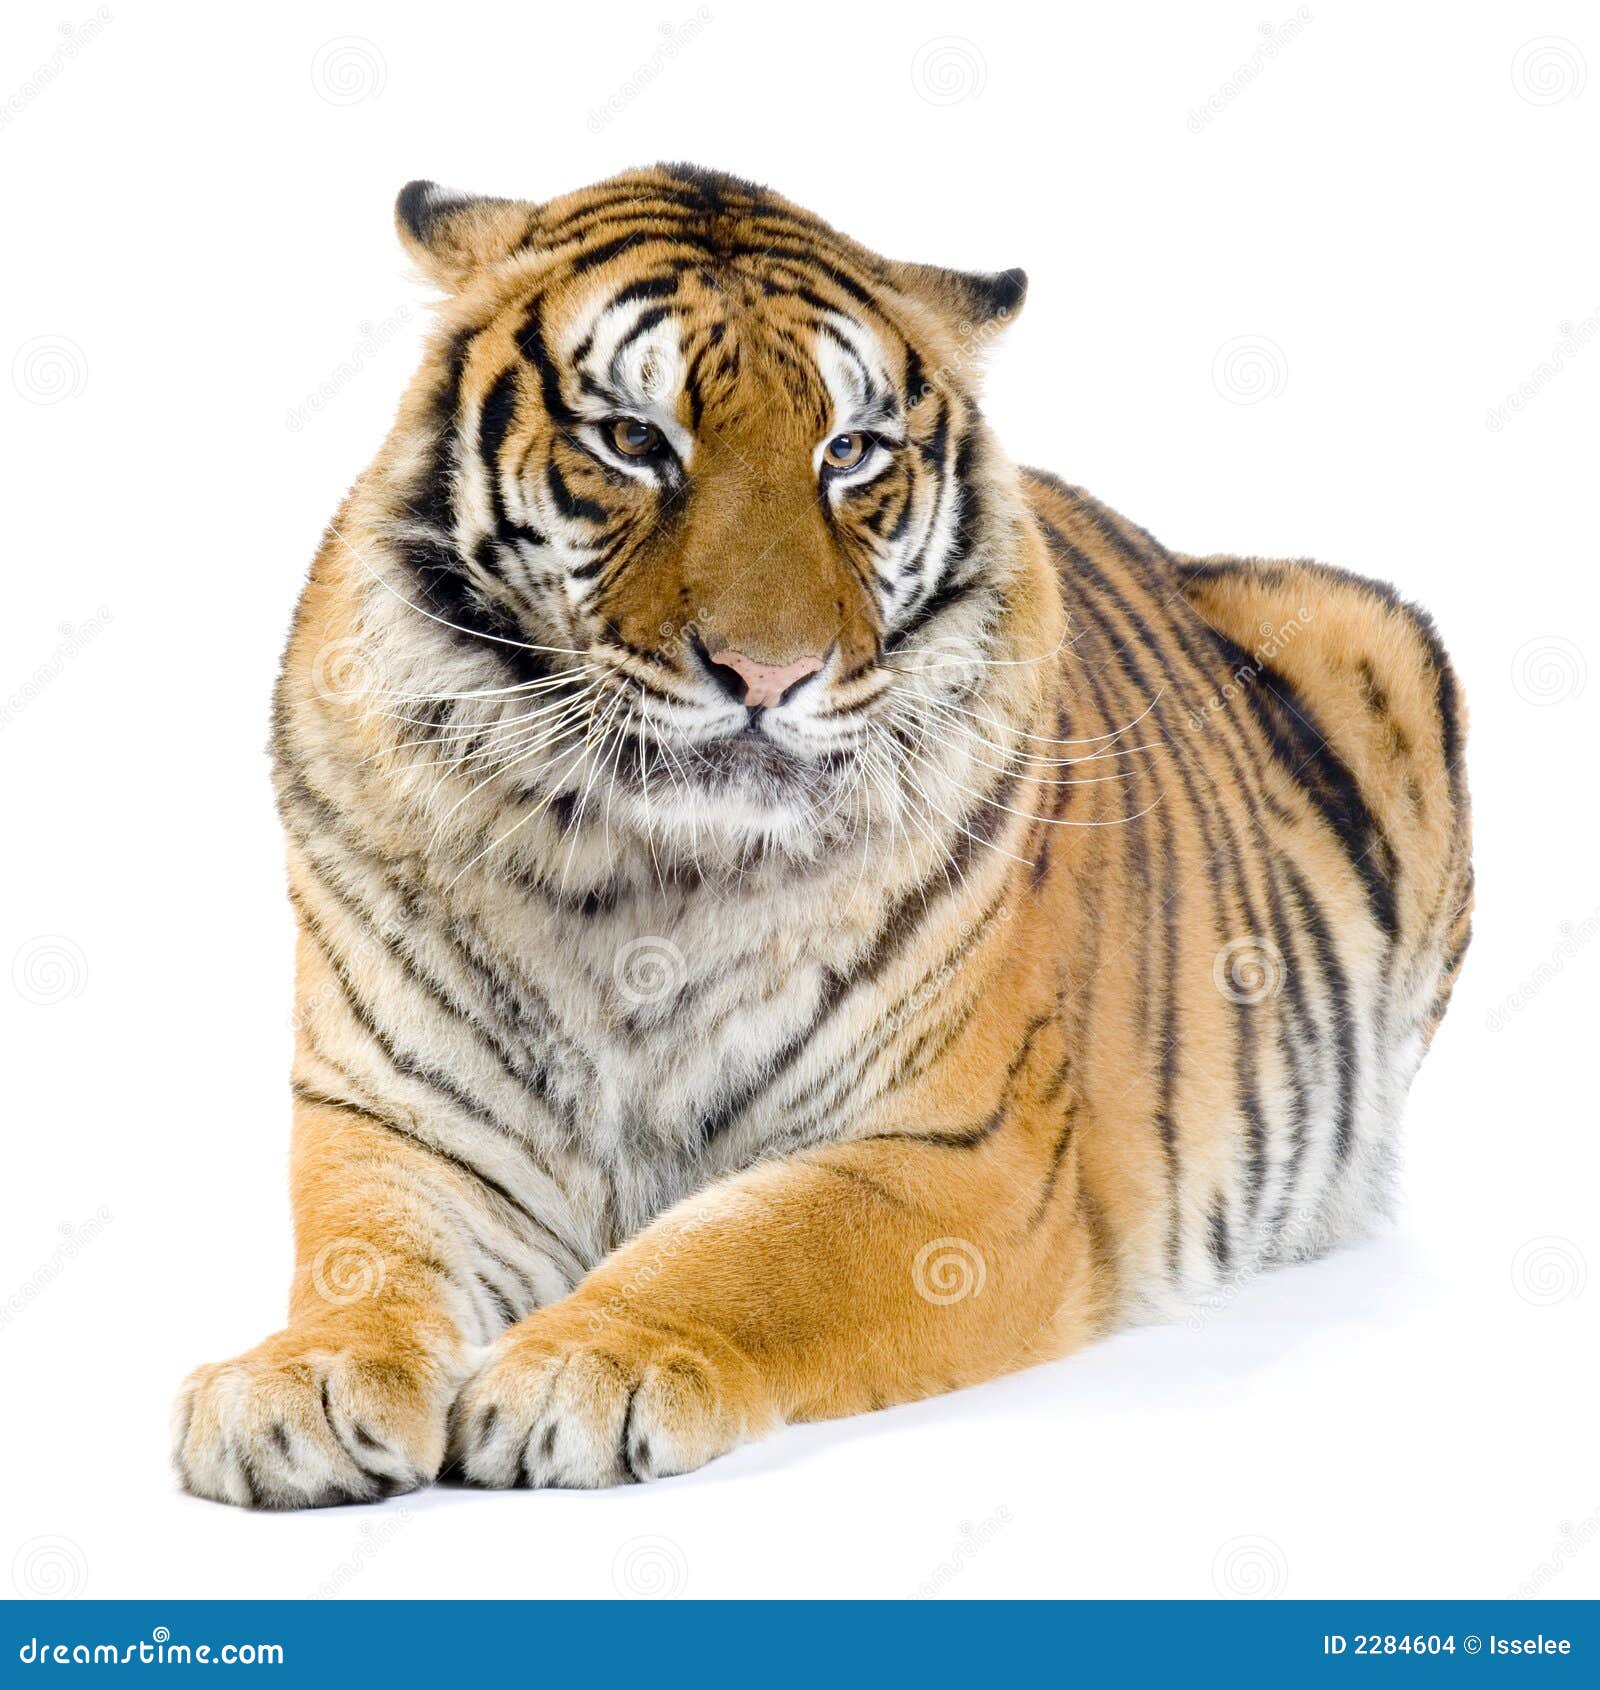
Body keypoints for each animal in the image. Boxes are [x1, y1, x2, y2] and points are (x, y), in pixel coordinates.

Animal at [172, 164, 1472, 1507]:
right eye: (634, 441)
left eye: (847, 451)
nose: (767, 673)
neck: (641, 872)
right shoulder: (397, 1115)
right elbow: (364, 1256)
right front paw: (303, 1381)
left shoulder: (958, 1150)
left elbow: (749, 1254)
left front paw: (579, 1367)